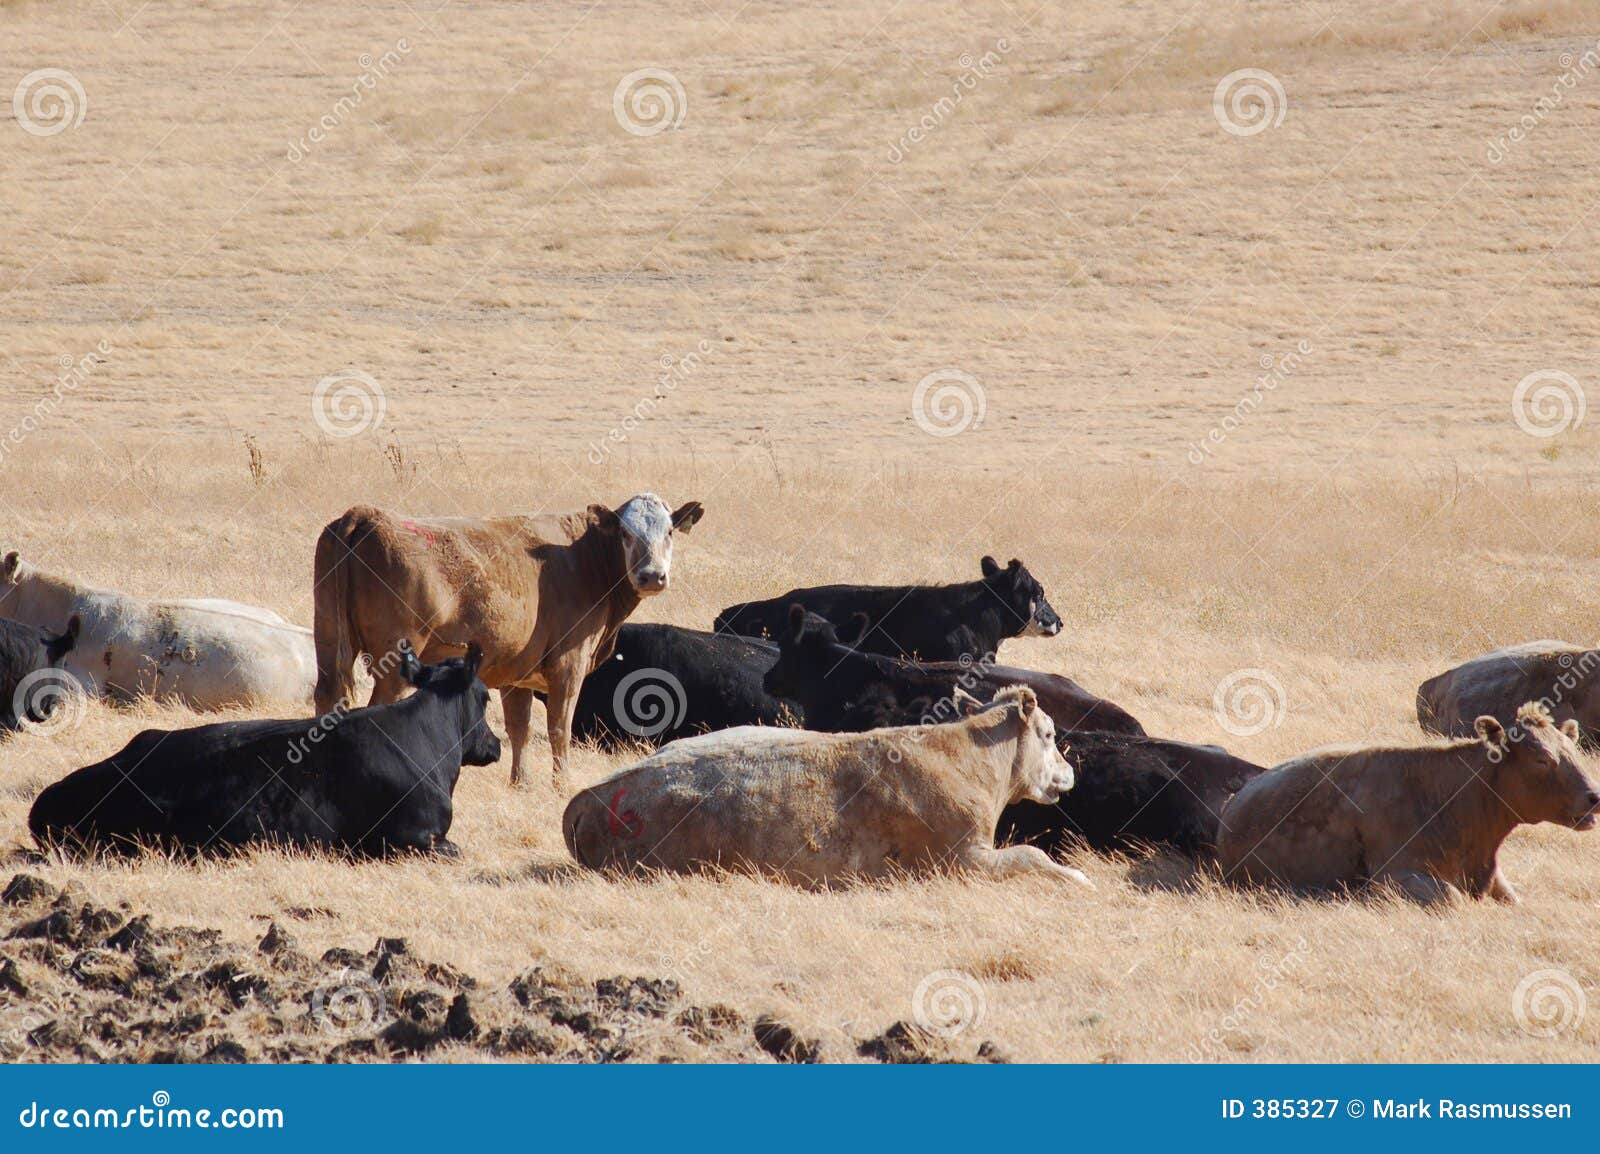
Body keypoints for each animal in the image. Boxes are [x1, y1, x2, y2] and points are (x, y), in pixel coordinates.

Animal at [312, 493, 704, 786]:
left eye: (670, 532)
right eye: (625, 534)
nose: (652, 575)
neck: (583, 556)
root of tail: (368, 515)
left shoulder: (517, 674)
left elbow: (520, 728)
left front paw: (521, 782)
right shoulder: (569, 664)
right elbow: (559, 727)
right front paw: (562, 784)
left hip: (328, 643)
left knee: (327, 700)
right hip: (394, 662)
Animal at [561, 685, 1092, 888]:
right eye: (1049, 734)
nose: (1069, 772)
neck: (971, 759)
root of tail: (589, 796)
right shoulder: (961, 858)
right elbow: (1032, 855)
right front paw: (1080, 878)